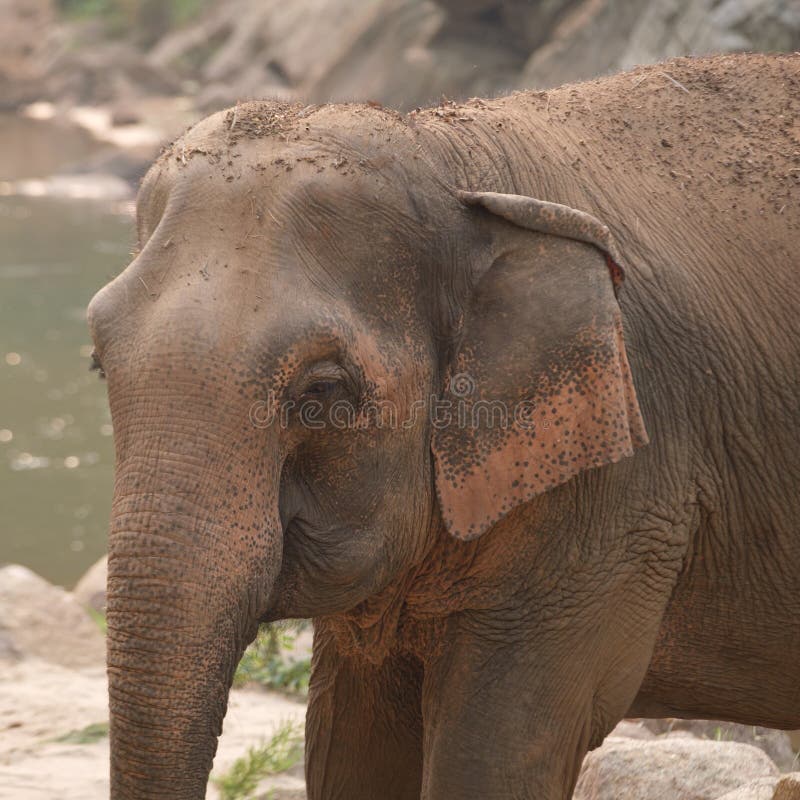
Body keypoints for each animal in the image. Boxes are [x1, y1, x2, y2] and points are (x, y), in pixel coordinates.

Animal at [87, 53, 800, 799]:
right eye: (99, 362)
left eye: (322, 391)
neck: (449, 158)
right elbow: (353, 756)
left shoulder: (624, 490)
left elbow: (492, 762)